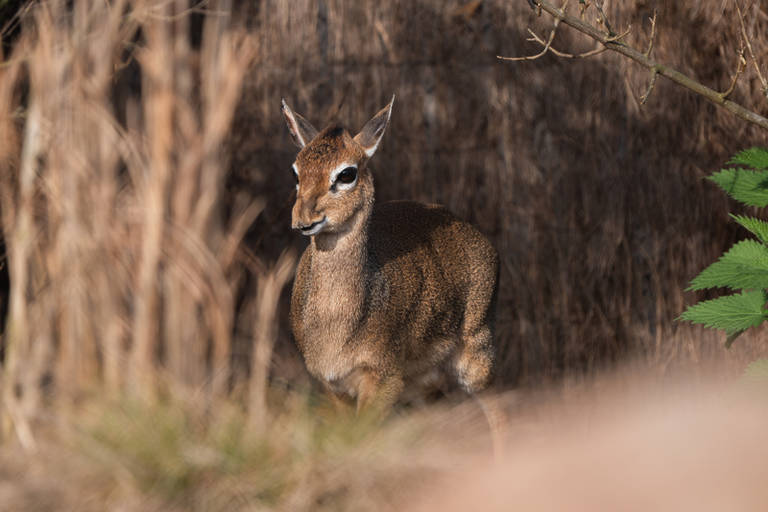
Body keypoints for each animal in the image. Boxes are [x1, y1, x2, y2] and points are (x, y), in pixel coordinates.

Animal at [283, 96, 499, 416]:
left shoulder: (385, 379)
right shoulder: (332, 386)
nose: (303, 219)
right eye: (296, 171)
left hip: (477, 355)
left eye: (347, 173)